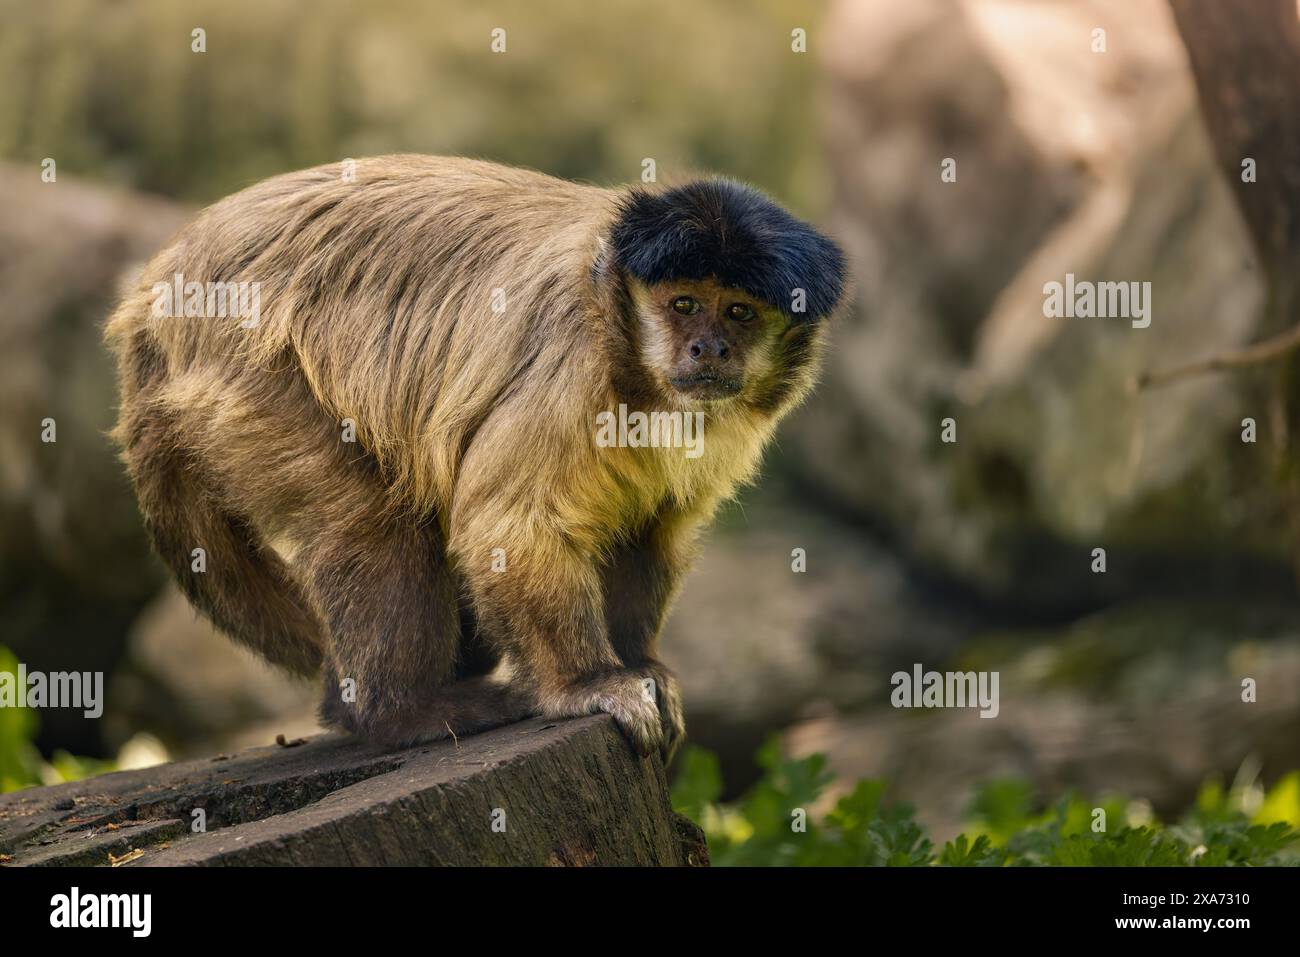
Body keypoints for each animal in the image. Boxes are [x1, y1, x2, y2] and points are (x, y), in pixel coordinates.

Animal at [105, 155, 845, 761]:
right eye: (685, 305)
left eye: (739, 314)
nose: (707, 348)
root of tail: (157, 290)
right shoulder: (573, 364)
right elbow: (509, 526)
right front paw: (592, 681)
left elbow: (650, 532)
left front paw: (641, 664)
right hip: (243, 365)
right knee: (375, 519)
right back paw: (399, 712)